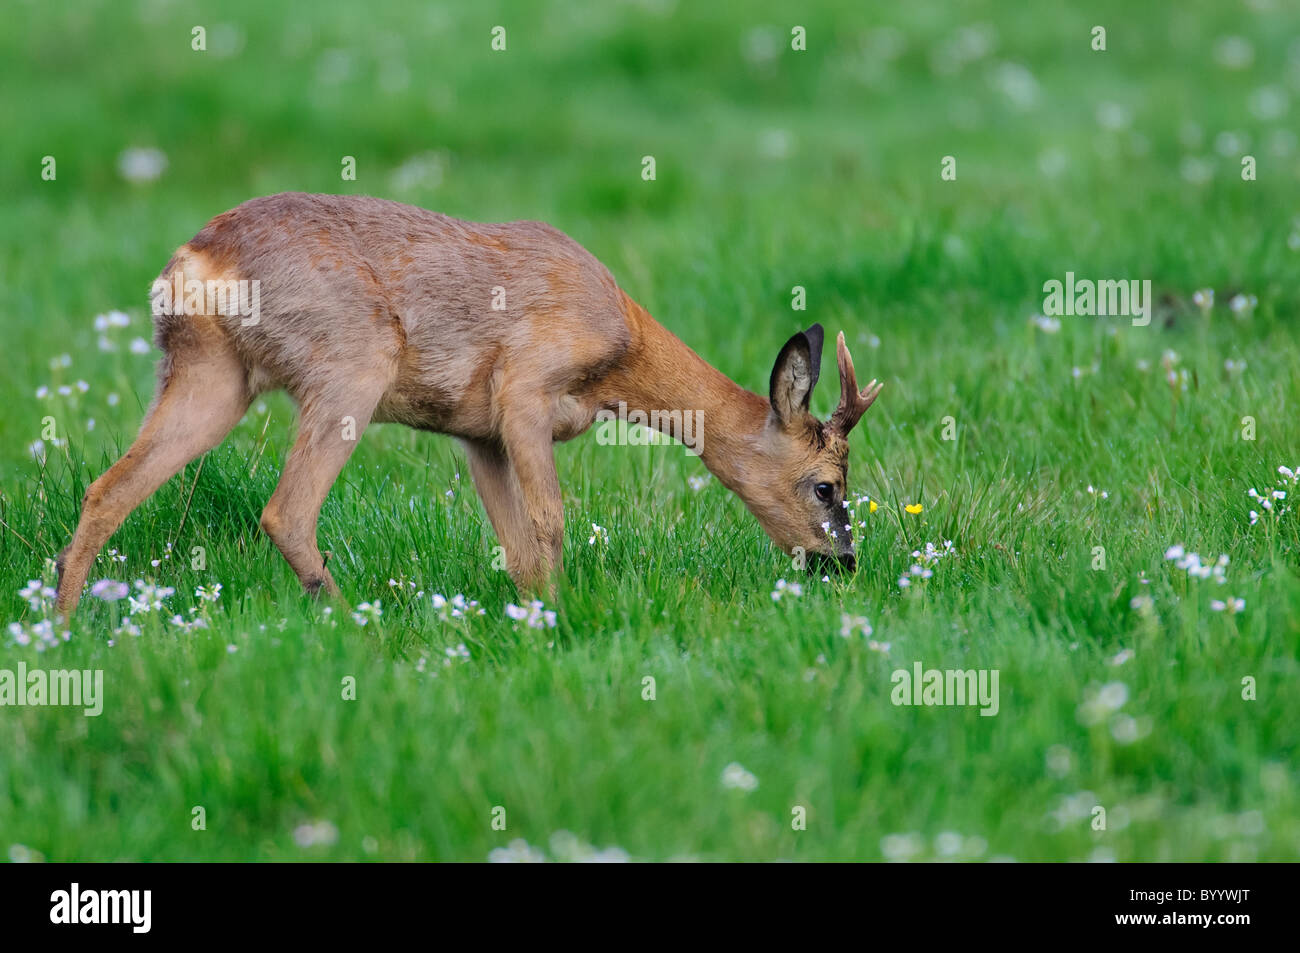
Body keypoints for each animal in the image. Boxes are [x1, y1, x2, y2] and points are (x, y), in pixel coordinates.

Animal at [54, 193, 883, 615]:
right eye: (826, 485)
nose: (841, 563)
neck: (619, 356)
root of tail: (197, 257)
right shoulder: (524, 391)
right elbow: (550, 525)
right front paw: (563, 620)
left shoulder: (475, 432)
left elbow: (517, 550)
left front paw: (535, 622)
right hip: (349, 365)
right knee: (286, 509)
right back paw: (354, 622)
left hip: (209, 375)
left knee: (108, 488)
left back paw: (63, 621)